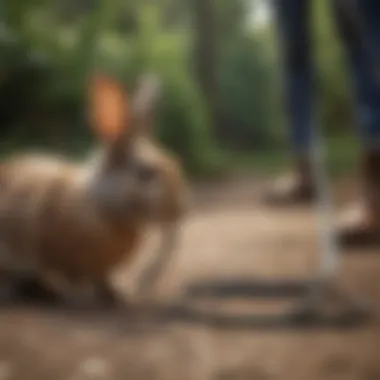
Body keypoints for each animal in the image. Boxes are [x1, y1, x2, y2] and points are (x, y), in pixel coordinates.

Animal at [0, 73, 187, 306]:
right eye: (145, 173)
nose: (180, 209)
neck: (101, 206)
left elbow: (103, 279)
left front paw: (117, 296)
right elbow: (87, 277)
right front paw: (106, 297)